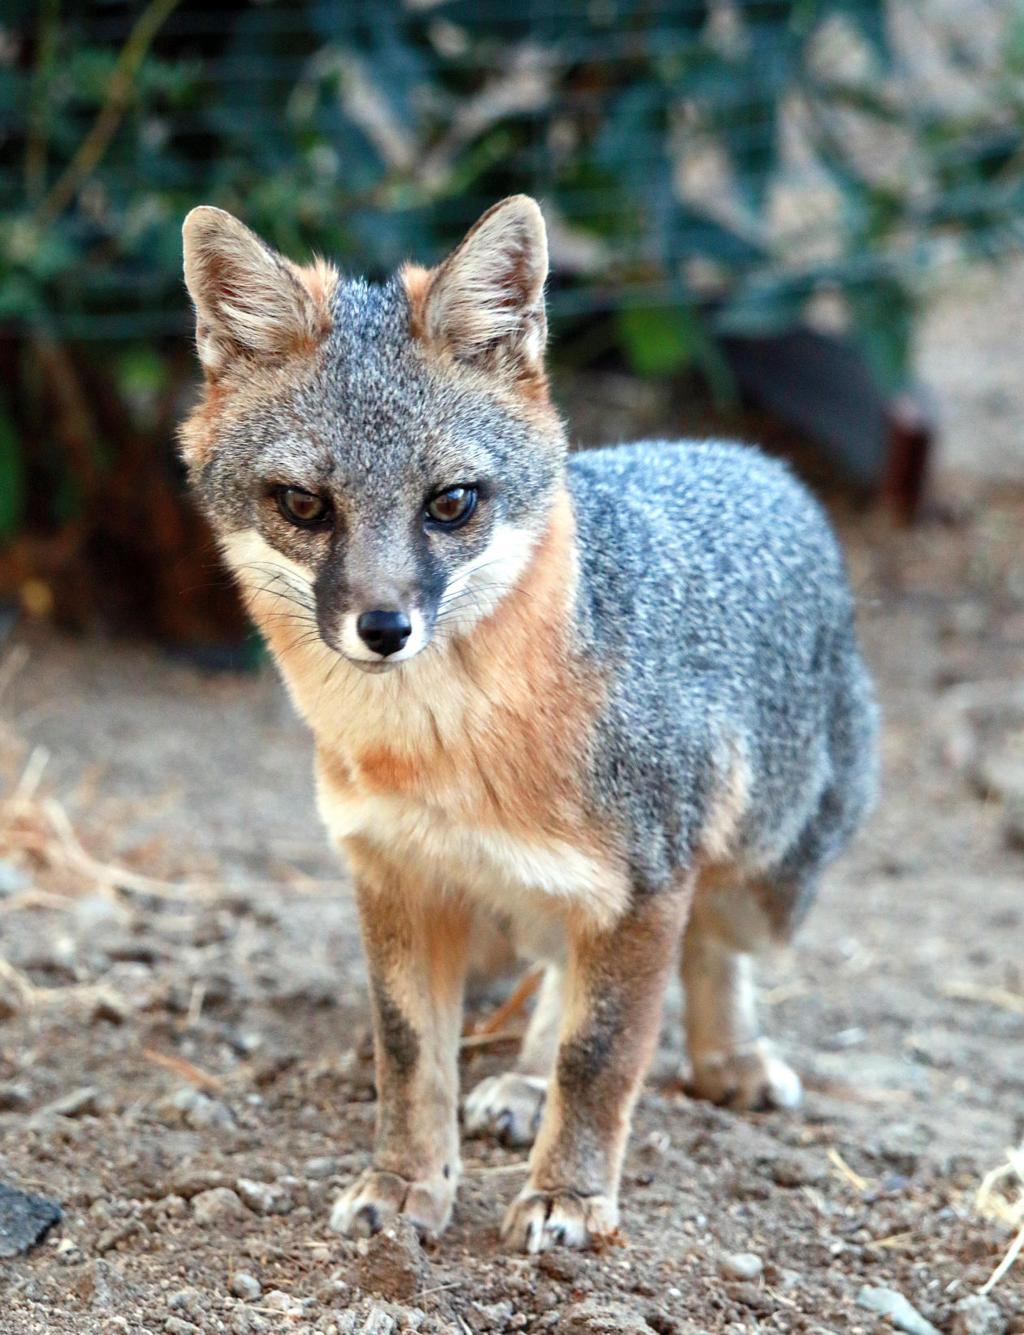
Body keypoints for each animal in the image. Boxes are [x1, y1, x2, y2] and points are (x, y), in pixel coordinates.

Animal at [179, 195, 877, 1253]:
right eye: (303, 504)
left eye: (451, 503)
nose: (383, 628)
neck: (444, 749)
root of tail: (749, 457)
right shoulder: (396, 875)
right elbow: (409, 1054)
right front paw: (406, 1181)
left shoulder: (646, 886)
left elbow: (603, 1051)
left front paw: (572, 1195)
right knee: (560, 969)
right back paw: (524, 1084)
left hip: (764, 885)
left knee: (709, 946)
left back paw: (726, 1055)